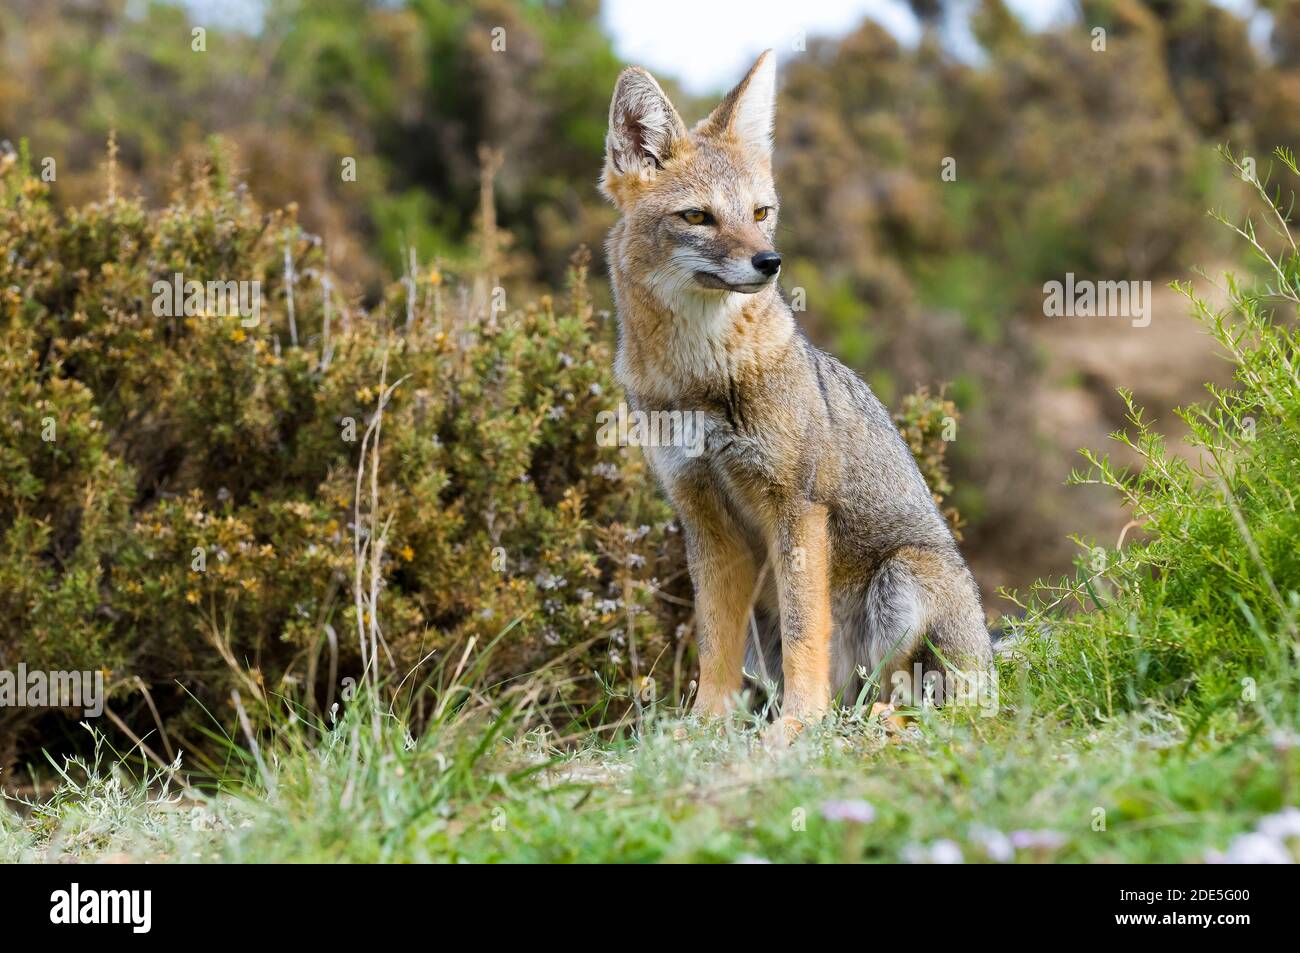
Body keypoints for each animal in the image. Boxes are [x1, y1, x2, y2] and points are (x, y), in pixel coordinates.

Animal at [599, 50, 992, 736]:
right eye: (698, 216)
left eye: (760, 213)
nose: (769, 262)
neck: (700, 379)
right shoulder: (703, 518)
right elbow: (714, 641)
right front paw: (704, 724)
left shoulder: (797, 506)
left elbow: (809, 630)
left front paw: (798, 724)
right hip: (771, 631)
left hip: (902, 583)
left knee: (909, 698)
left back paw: (871, 718)